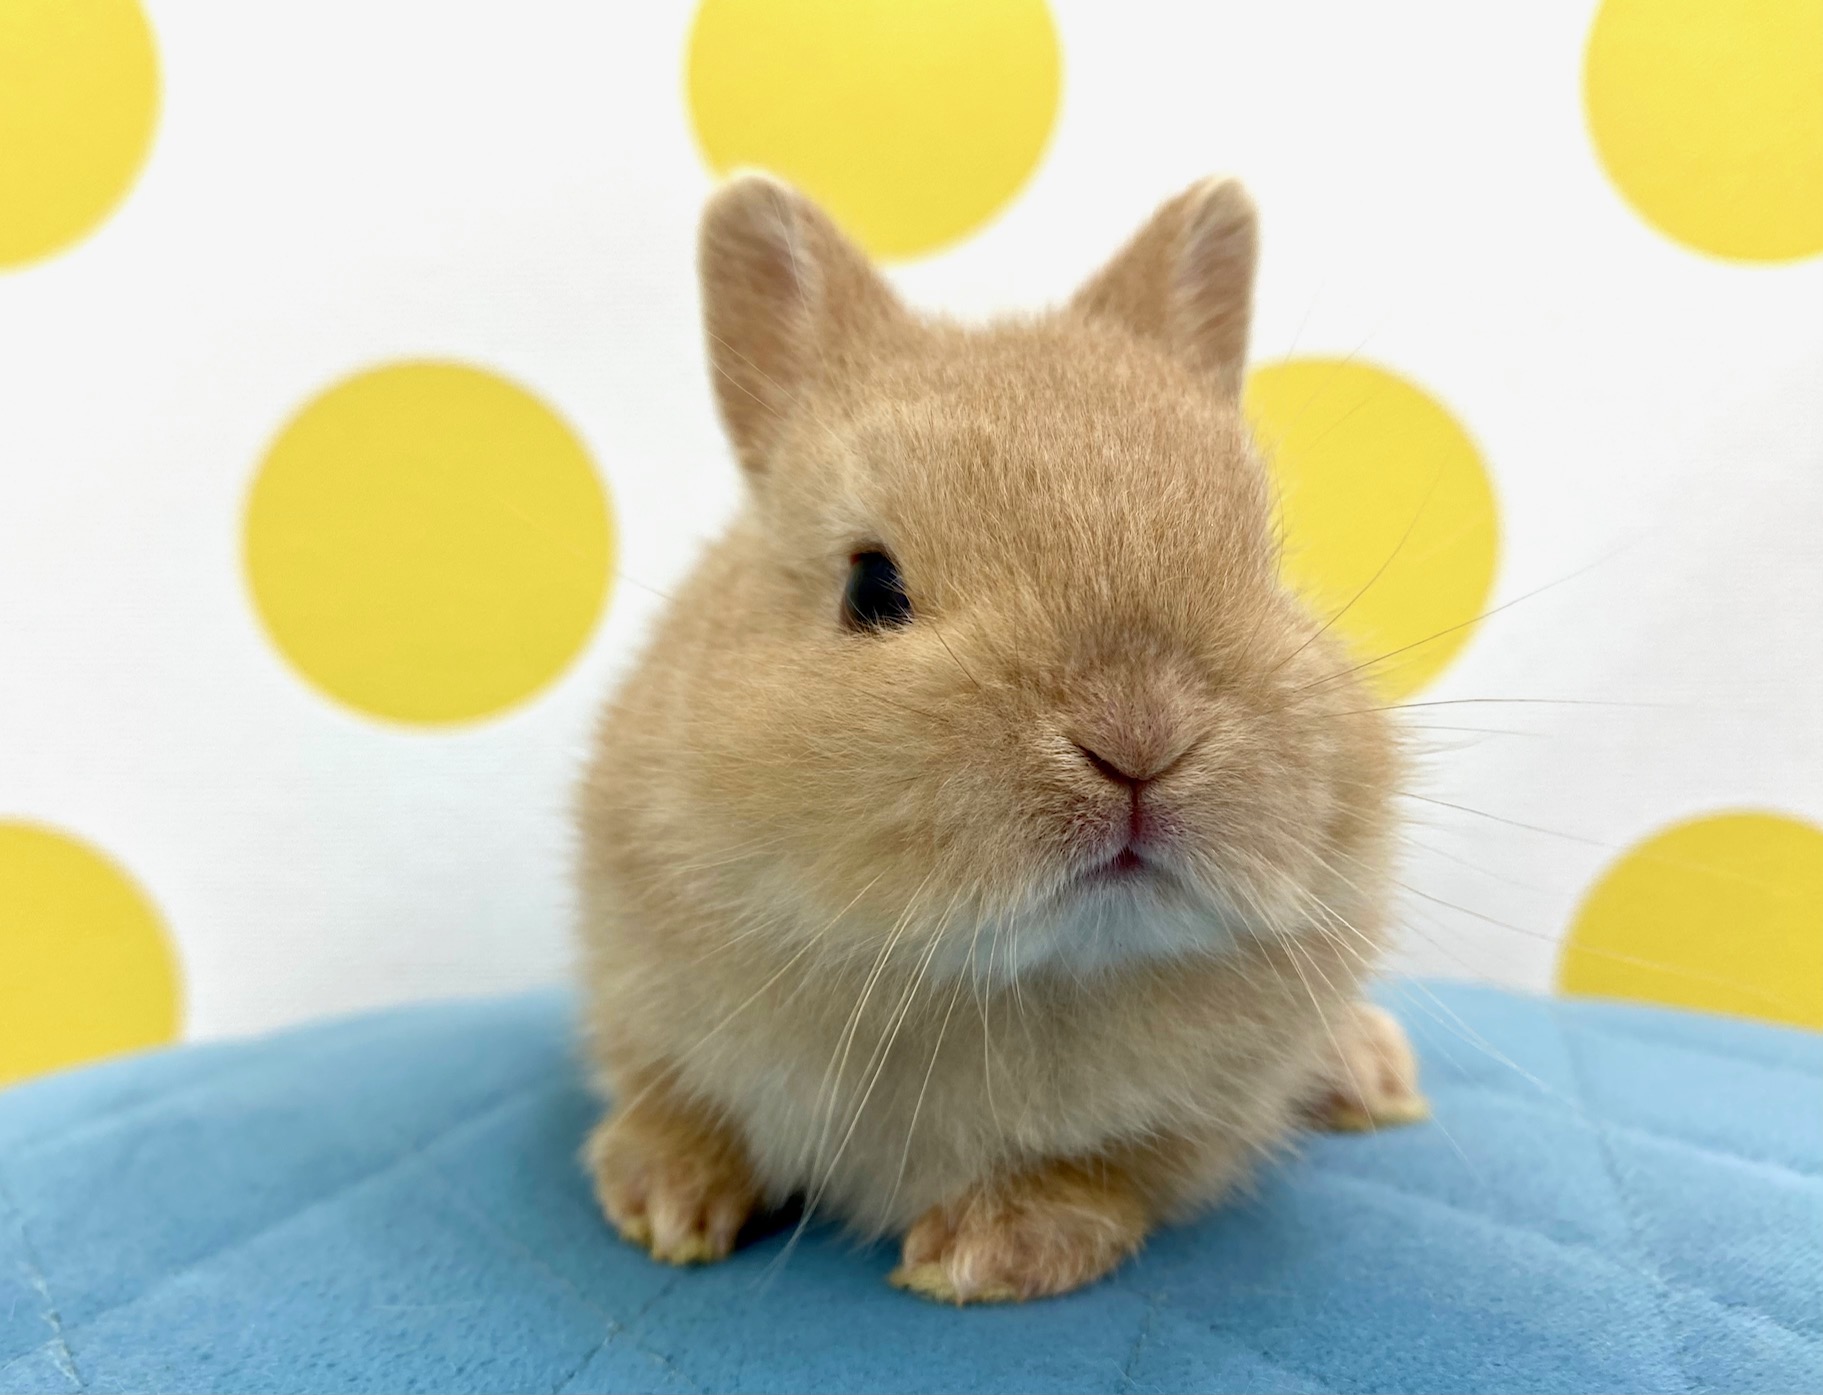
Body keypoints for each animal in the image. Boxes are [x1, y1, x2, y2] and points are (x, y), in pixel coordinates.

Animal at [574, 172, 1427, 1304]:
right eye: (869, 587)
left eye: (1263, 566)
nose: (1137, 738)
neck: (984, 982)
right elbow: (673, 1100)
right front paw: (660, 1199)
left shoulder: (1195, 1124)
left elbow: (1114, 1172)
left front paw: (986, 1253)